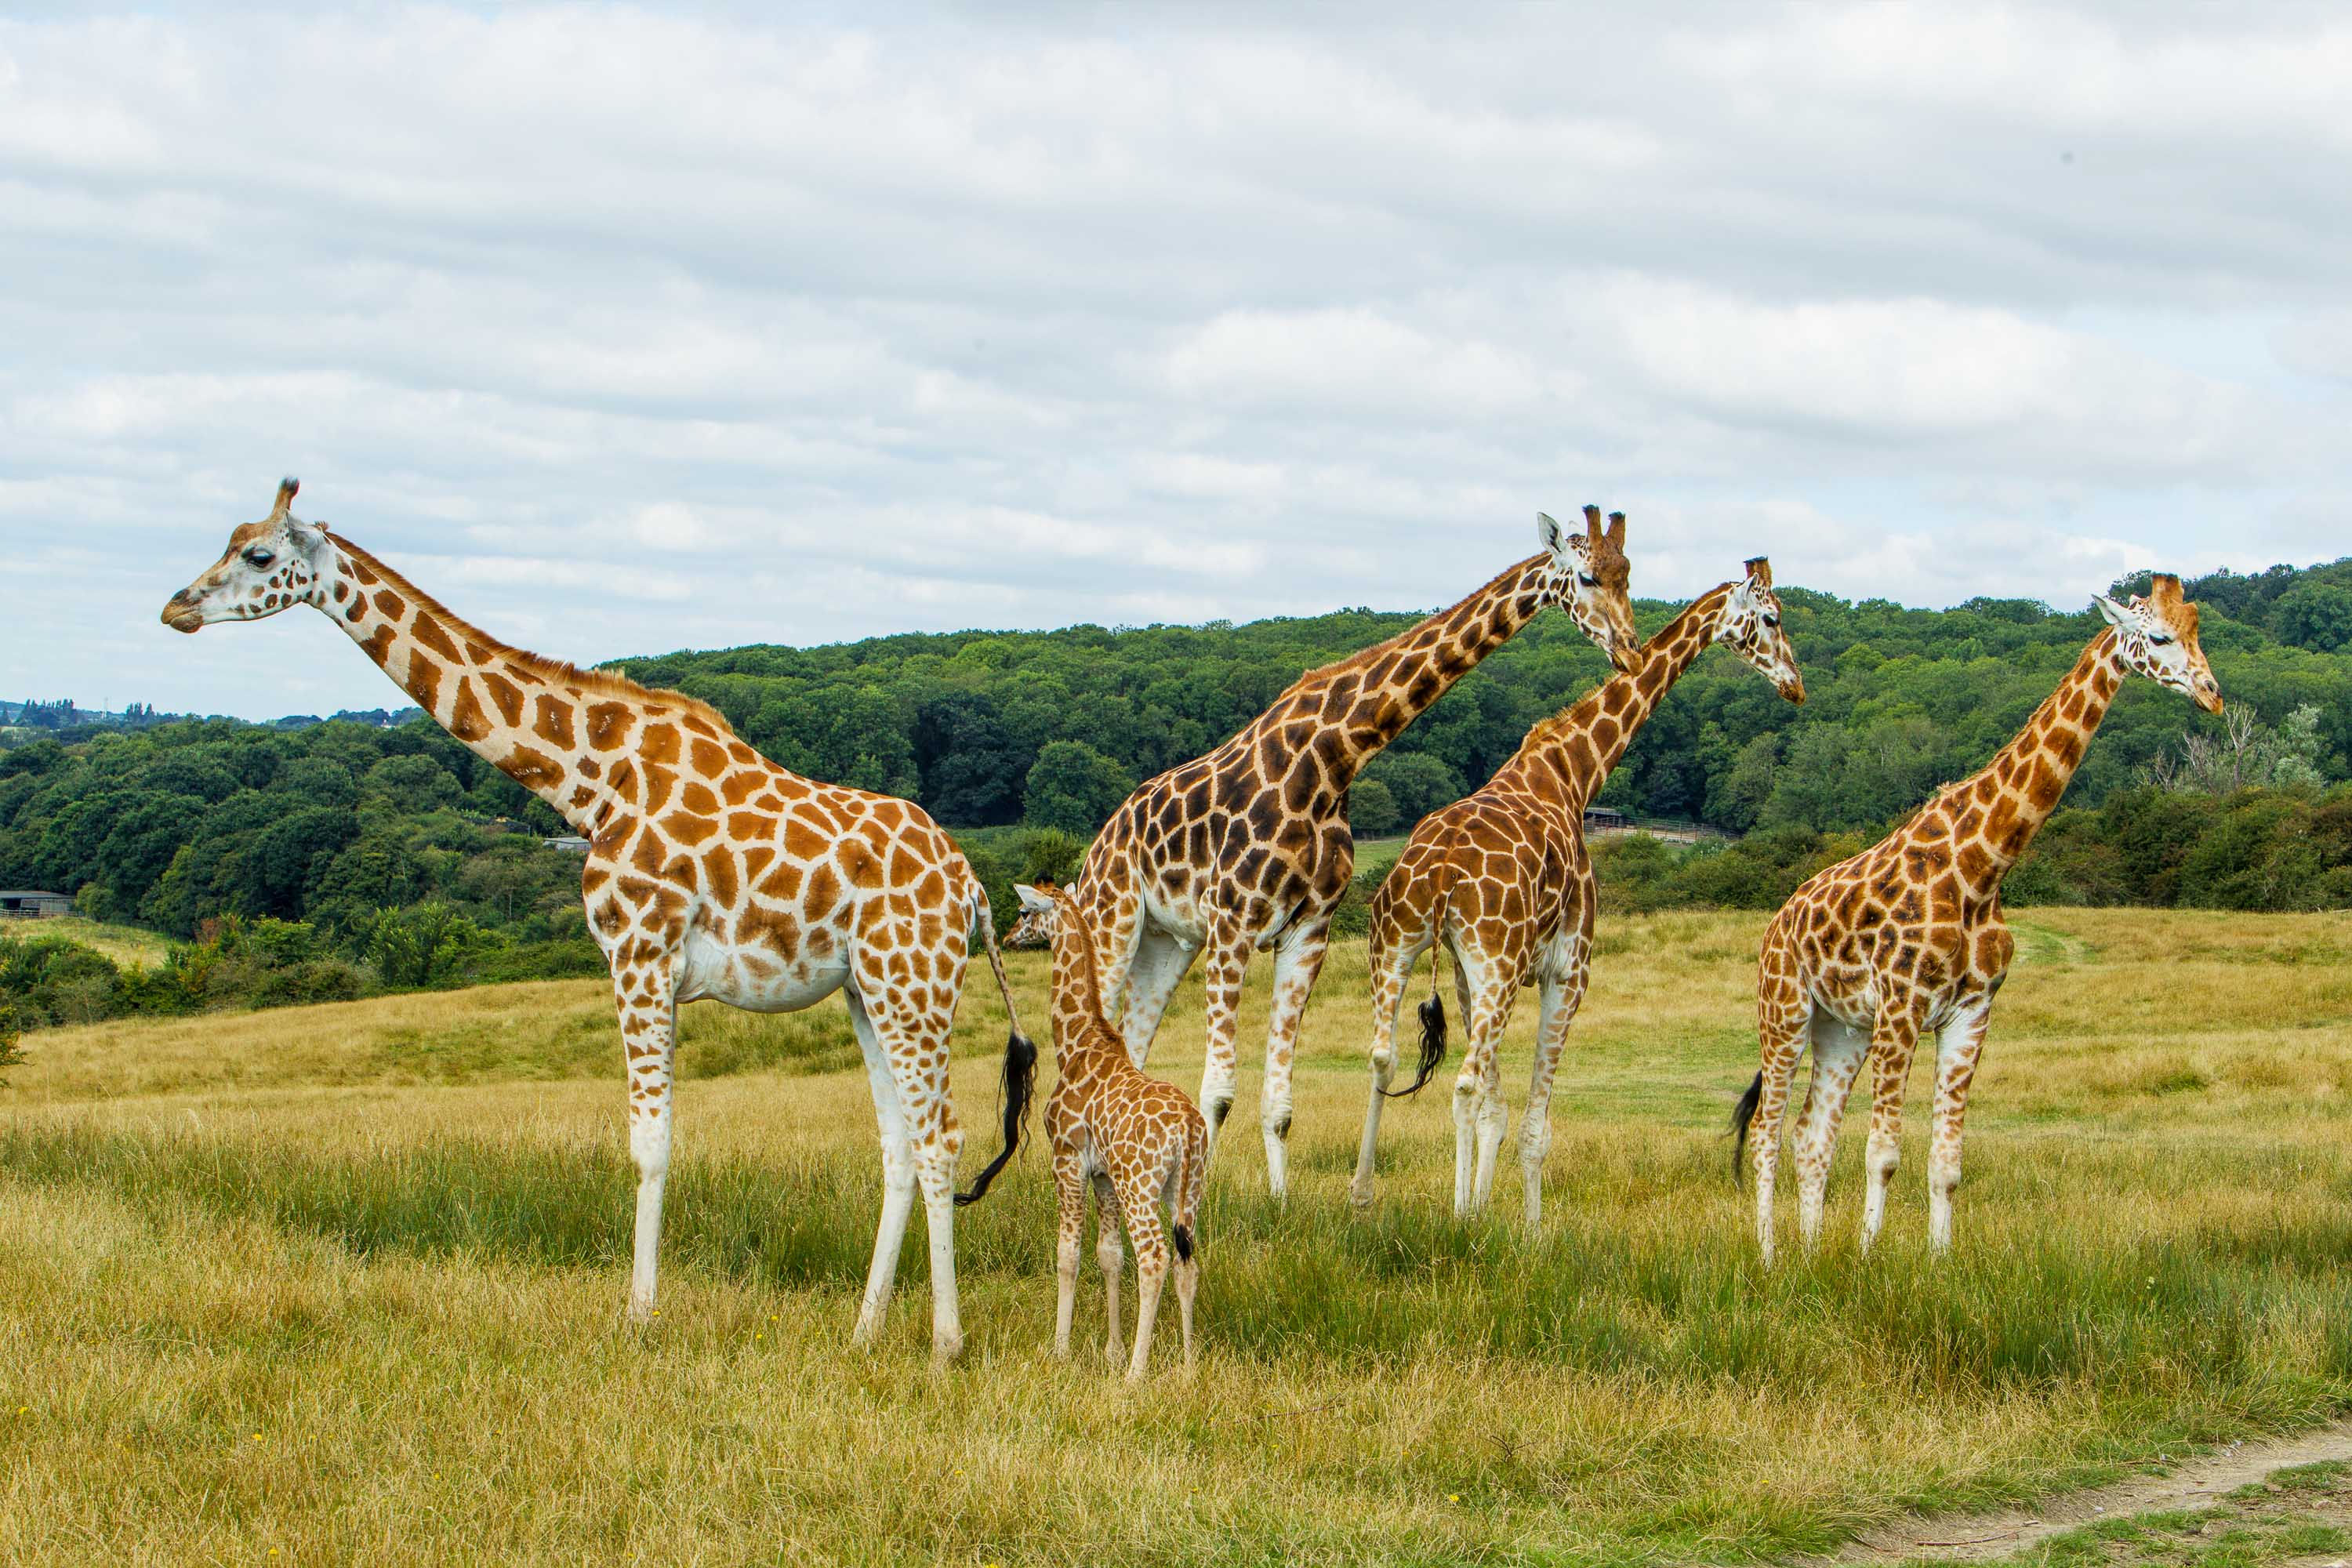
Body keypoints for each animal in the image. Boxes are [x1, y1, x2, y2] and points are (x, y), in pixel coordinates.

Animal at [160, 478, 1037, 1362]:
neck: (590, 781)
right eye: (229, 540)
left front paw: (639, 1317)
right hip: (868, 988)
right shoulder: (650, 960)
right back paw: (863, 1331)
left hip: (913, 982)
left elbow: (649, 1145)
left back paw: (946, 1342)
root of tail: (970, 886)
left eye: (258, 555)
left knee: (942, 1136)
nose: (177, 608)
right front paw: (645, 1309)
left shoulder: (639, 951)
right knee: (899, 1144)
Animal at [1008, 882, 1206, 1382]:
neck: (1076, 1042)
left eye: (1024, 911)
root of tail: (1189, 1129)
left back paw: (1138, 1373)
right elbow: (1109, 1255)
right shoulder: (1104, 1176)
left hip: (1141, 1185)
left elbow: (1069, 1253)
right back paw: (1189, 1364)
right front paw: (1112, 1350)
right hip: (1187, 1186)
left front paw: (1060, 1350)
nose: (1007, 935)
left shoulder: (1068, 1160)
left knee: (1155, 1258)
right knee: (1186, 1259)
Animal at [1063, 508, 1643, 1197]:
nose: (1631, 650)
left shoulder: (1308, 930)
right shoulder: (1233, 924)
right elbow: (1217, 1094)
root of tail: (1100, 841)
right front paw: (1198, 1213)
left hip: (1166, 942)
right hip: (1114, 921)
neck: (1331, 761)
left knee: (1130, 1048)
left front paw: (1279, 1205)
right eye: (1587, 576)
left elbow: (1278, 1103)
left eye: (1629, 574)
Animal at [1350, 558, 1806, 1222]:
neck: (1572, 772)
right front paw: (1525, 1228)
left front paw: (1480, 1207)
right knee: (1462, 1082)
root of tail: (1440, 875)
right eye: (1771, 618)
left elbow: (1497, 1109)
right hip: (1493, 963)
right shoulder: (1568, 970)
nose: (1795, 684)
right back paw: (1458, 1221)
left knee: (1385, 1057)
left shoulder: (1466, 972)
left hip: (1397, 945)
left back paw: (1364, 1195)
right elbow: (1531, 1123)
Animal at [1733, 576, 2223, 1265]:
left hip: (1842, 1027)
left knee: (1813, 1134)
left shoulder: (1972, 1011)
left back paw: (1809, 1256)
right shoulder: (1904, 1007)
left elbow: (1946, 1164)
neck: (1982, 866)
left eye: (2198, 634)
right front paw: (1867, 1262)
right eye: (2158, 638)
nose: (2212, 693)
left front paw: (1938, 1266)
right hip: (1785, 1012)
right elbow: (1883, 1153)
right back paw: (1770, 1259)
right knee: (1768, 1132)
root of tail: (1777, 922)